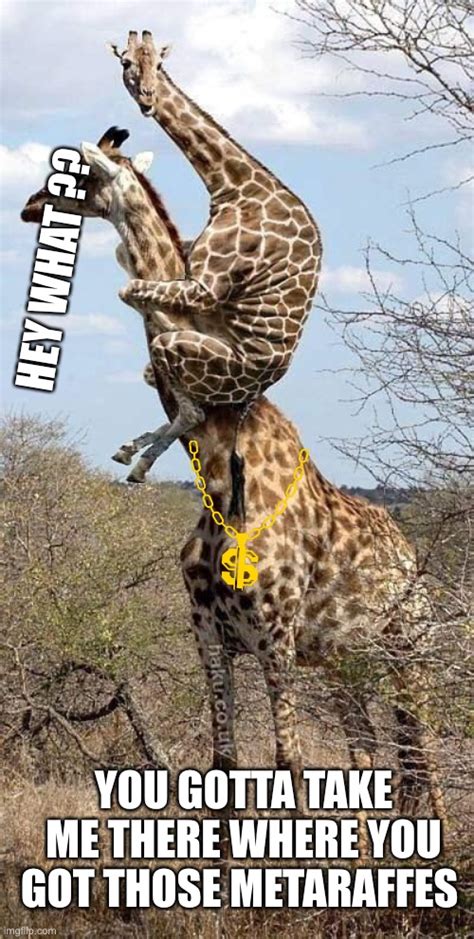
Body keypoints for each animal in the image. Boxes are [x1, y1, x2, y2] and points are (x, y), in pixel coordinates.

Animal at [108, 30, 322, 478]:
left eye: (159, 64)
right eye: (127, 63)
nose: (148, 99)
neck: (233, 185)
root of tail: (257, 387)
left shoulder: (205, 286)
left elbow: (130, 288)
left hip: (181, 350)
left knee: (193, 405)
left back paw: (140, 461)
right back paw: (130, 450)